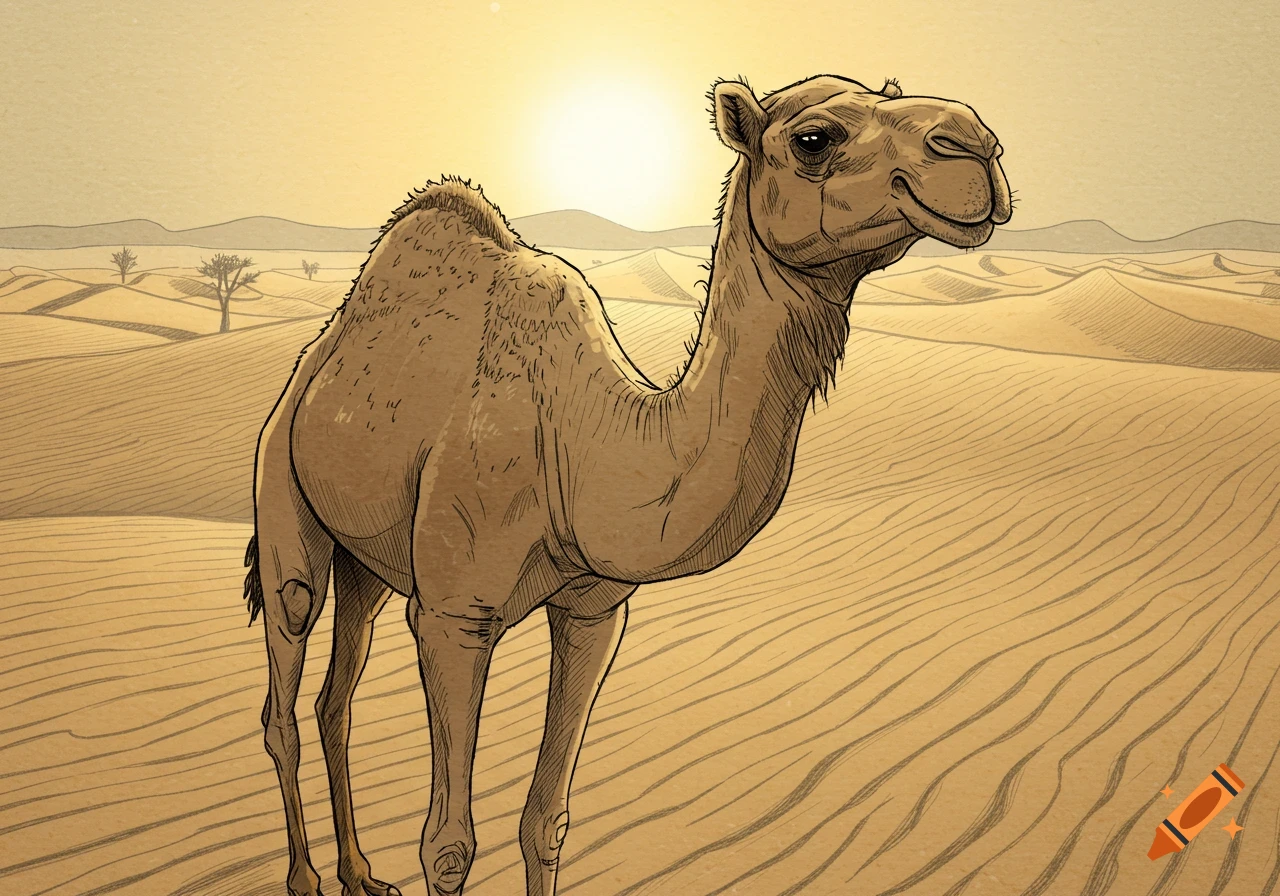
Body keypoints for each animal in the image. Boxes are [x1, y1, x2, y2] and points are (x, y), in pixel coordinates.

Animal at [245, 72, 1011, 896]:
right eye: (813, 138)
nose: (976, 146)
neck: (579, 444)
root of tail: (317, 355)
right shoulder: (455, 616)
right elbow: (447, 845)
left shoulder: (594, 607)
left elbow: (545, 821)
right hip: (282, 489)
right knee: (286, 684)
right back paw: (305, 879)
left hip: (369, 561)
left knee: (337, 698)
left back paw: (359, 873)